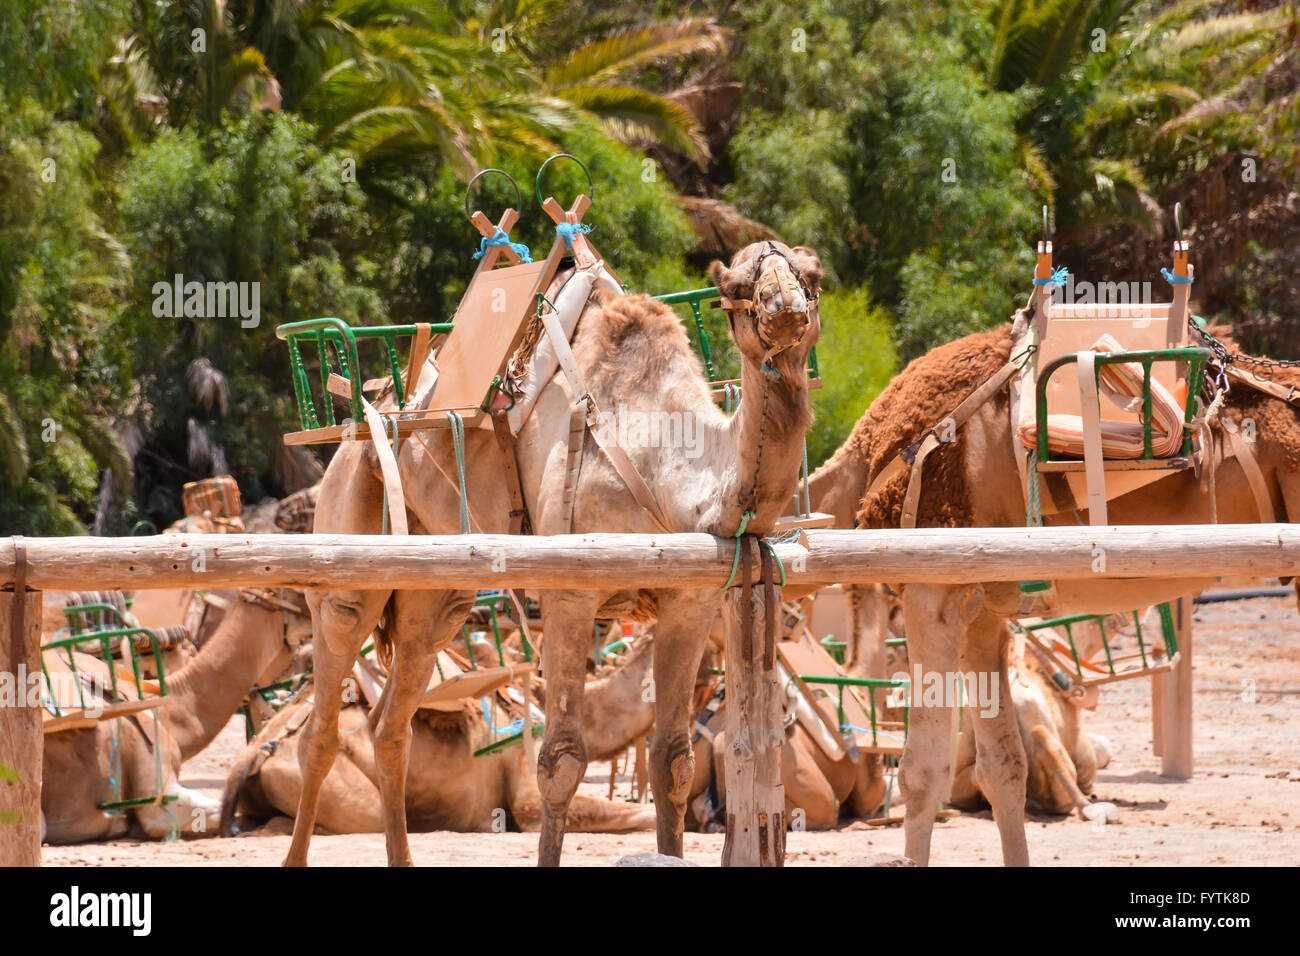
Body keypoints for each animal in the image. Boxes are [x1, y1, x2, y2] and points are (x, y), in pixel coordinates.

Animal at [290, 240, 822, 866]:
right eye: (737, 288)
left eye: (813, 278)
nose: (786, 311)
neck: (663, 459)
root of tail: (359, 422)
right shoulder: (571, 593)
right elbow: (560, 762)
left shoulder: (690, 602)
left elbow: (673, 759)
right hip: (349, 549)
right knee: (322, 724)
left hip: (437, 597)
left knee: (390, 723)